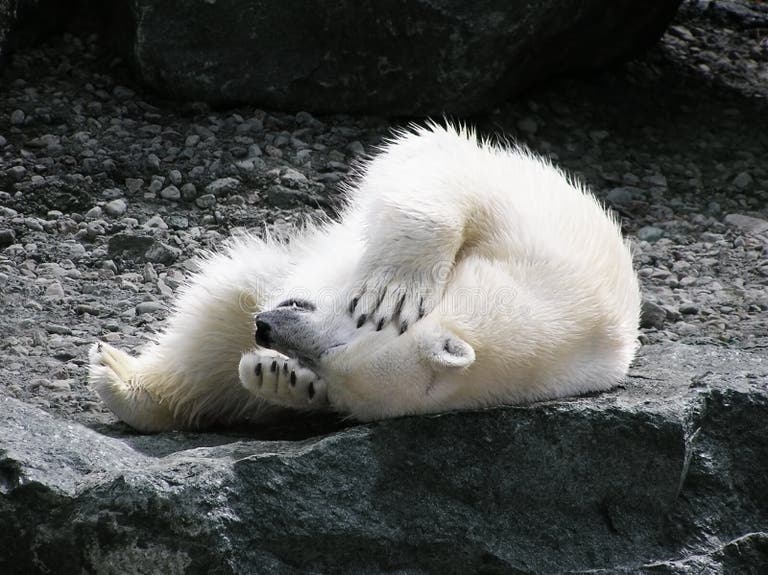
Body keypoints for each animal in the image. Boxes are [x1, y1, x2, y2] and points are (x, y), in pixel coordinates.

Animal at [89, 123, 641, 432]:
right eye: (358, 326)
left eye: (329, 366)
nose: (266, 329)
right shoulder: (540, 230)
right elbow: (436, 164)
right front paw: (394, 291)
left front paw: (281, 378)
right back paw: (121, 376)